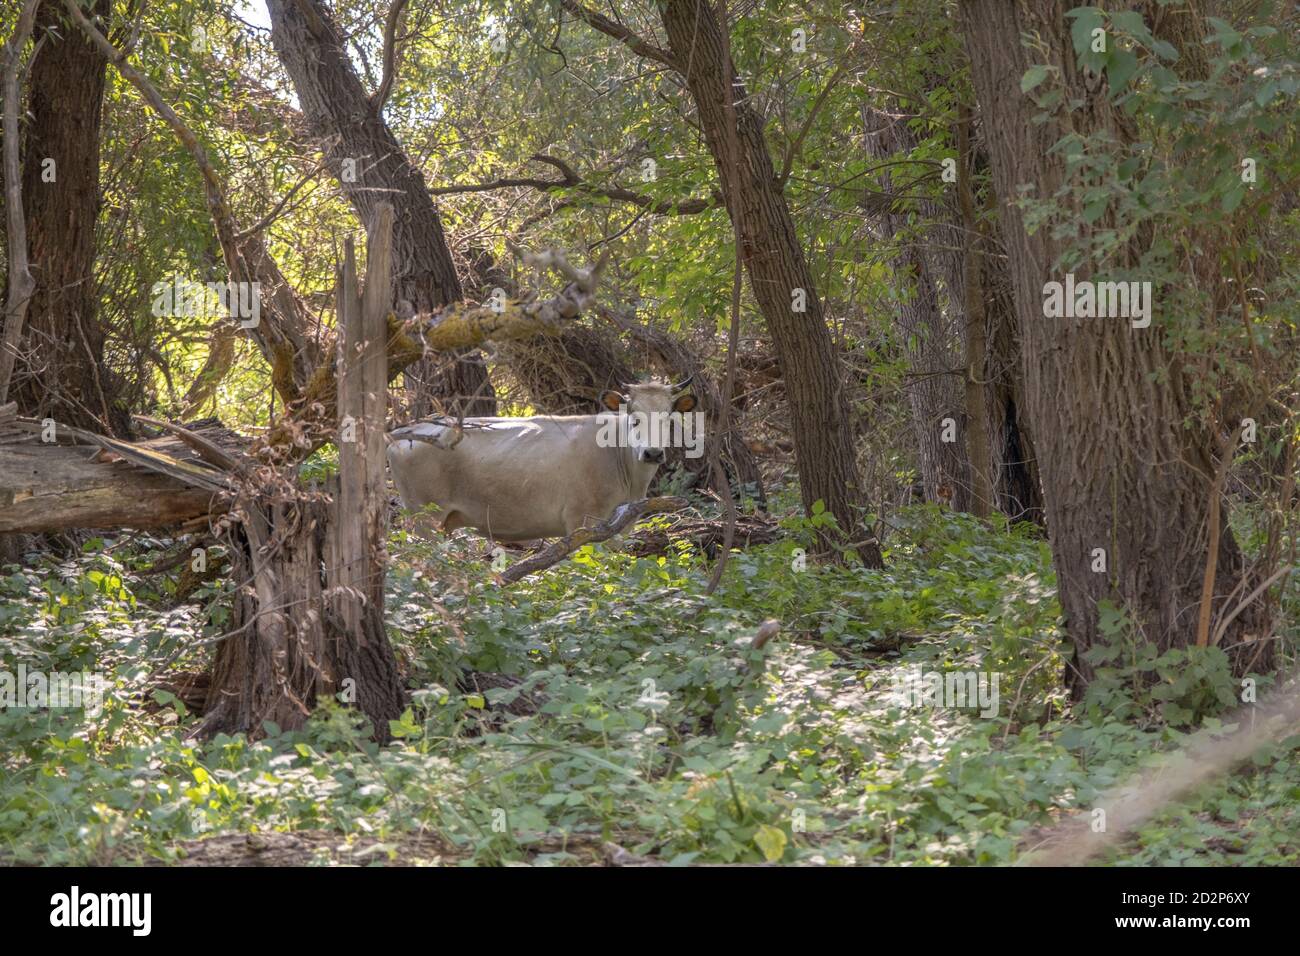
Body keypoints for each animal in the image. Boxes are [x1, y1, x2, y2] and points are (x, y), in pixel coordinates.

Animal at [386, 378, 698, 542]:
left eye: (669, 418)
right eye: (634, 418)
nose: (653, 453)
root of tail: (405, 430)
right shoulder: (582, 520)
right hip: (424, 518)